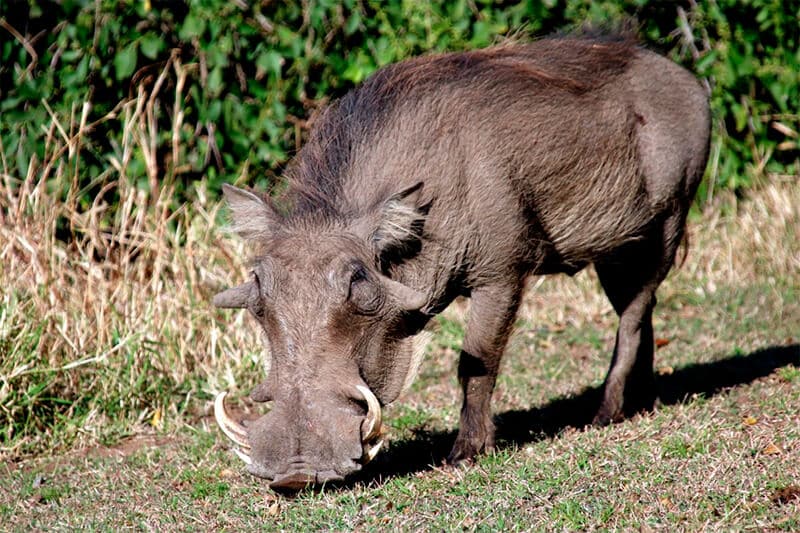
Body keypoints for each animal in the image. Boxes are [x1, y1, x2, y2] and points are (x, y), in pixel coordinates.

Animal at [211, 33, 710, 490]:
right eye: (258, 292)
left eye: (358, 285)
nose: (295, 475)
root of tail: (687, 77)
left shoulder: (502, 274)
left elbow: (477, 360)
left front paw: (466, 452)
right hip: (620, 247)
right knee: (641, 308)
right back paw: (643, 399)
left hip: (667, 221)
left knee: (633, 314)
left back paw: (604, 415)